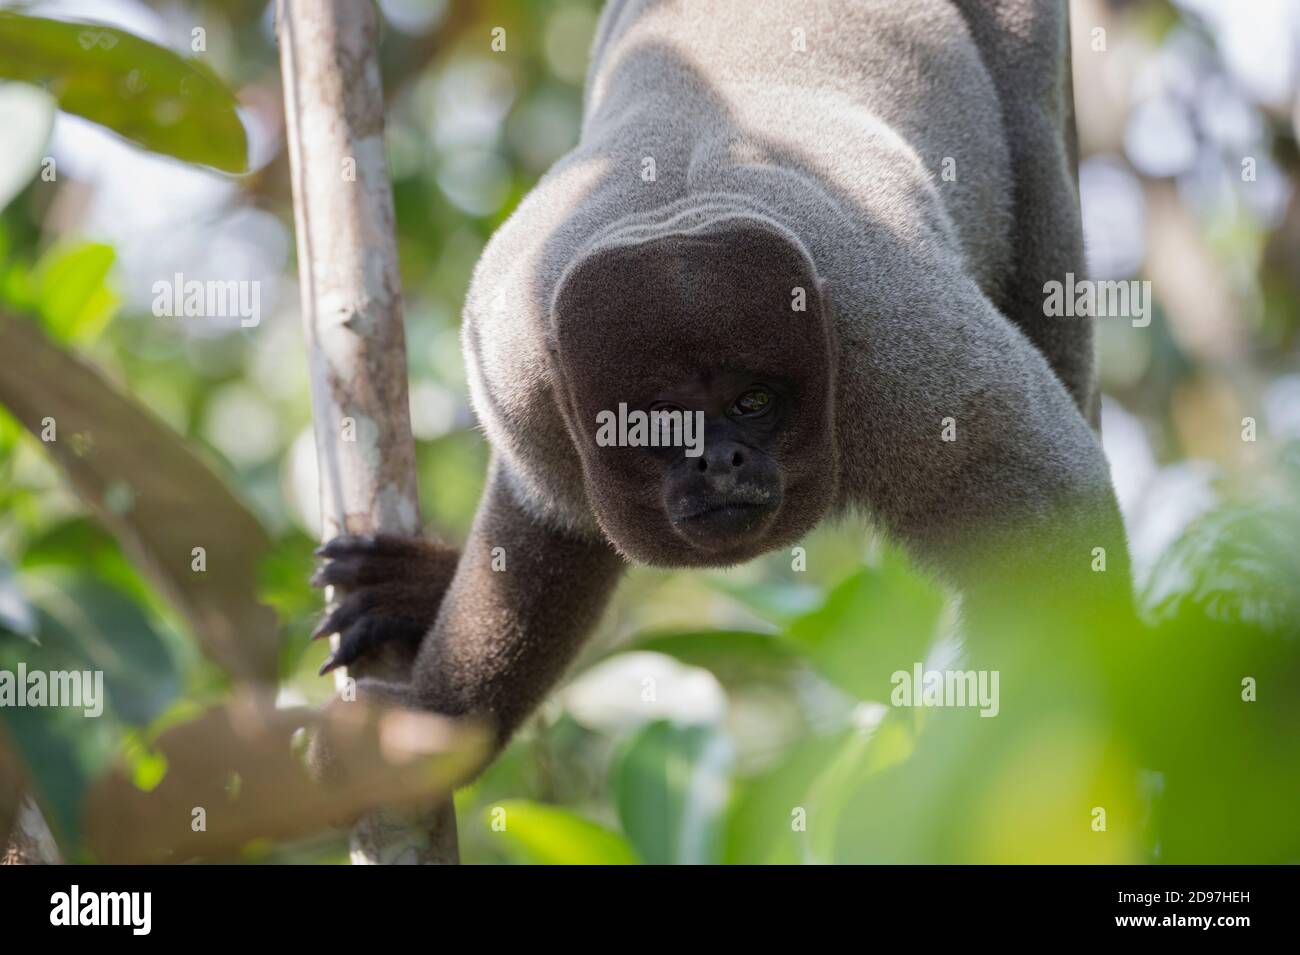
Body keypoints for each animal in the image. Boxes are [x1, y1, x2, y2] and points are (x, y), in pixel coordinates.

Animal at [311, 0, 1131, 765]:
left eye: (753, 402)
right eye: (657, 424)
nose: (718, 459)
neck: (673, 206)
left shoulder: (909, 352)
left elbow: (1057, 548)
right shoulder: (516, 378)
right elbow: (548, 534)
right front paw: (434, 731)